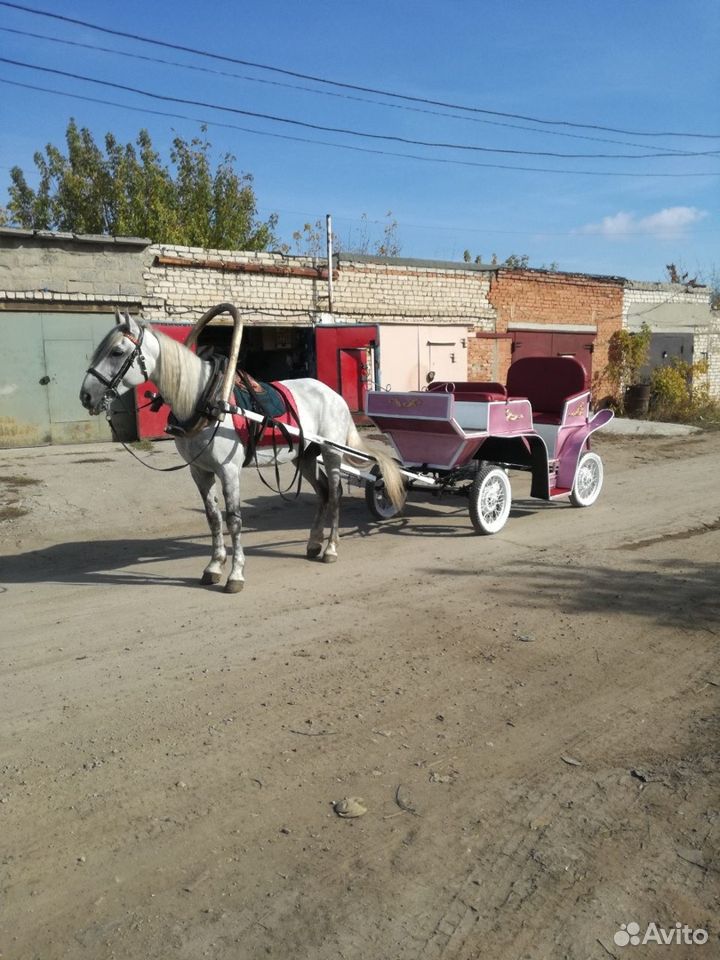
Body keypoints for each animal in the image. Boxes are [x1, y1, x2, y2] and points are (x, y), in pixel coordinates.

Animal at [79, 312, 404, 593]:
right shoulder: (200, 471)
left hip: (331, 452)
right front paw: (213, 567)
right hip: (306, 456)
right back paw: (313, 543)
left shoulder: (228, 470)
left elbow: (234, 519)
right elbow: (213, 517)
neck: (206, 401)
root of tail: (333, 394)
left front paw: (235, 574)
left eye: (117, 352)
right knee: (323, 492)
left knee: (335, 495)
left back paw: (331, 549)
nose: (86, 396)